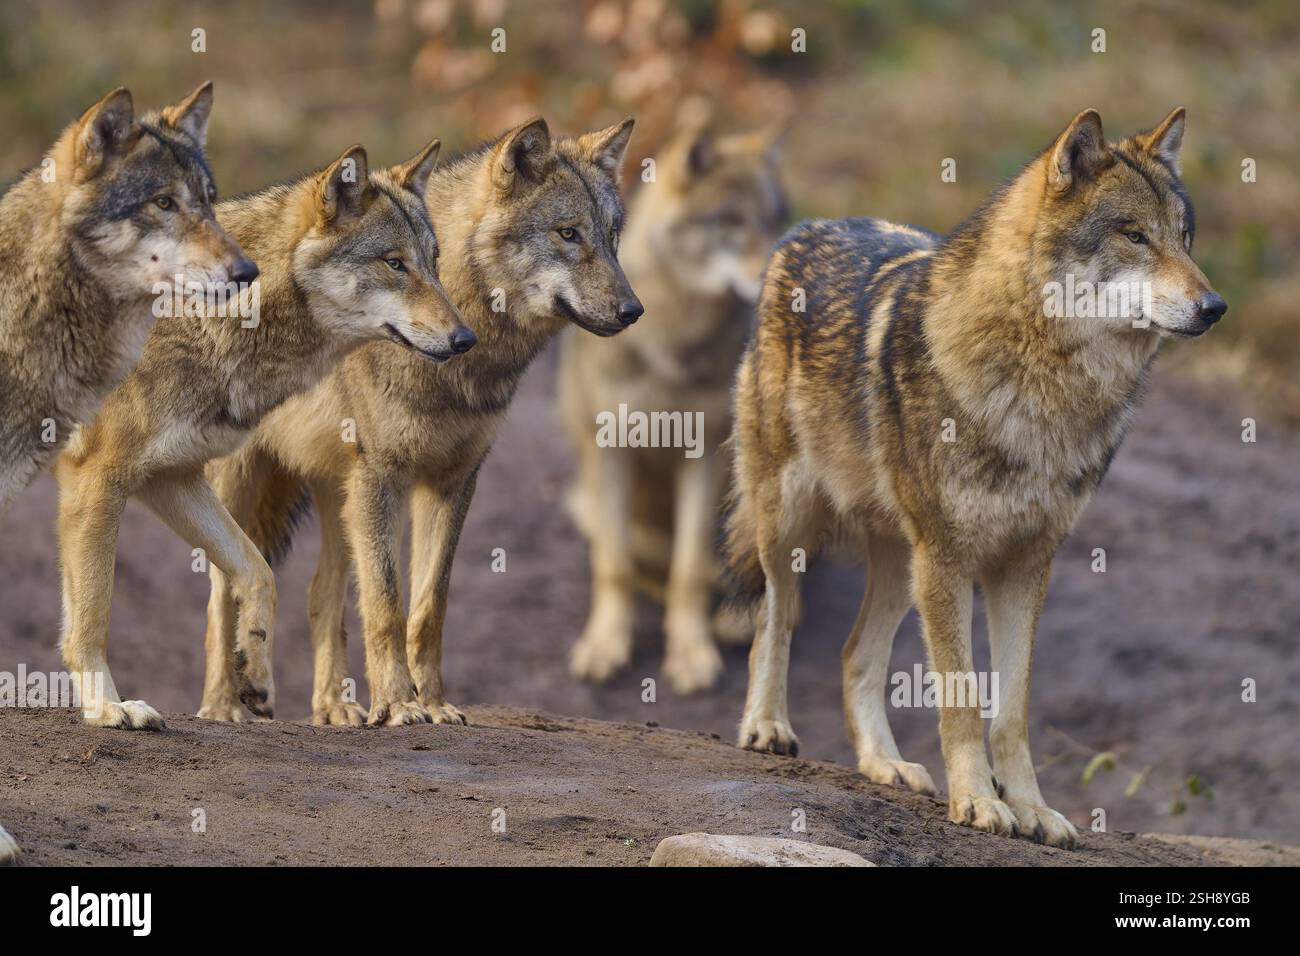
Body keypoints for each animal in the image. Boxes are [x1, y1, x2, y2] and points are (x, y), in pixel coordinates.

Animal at [56, 140, 472, 729]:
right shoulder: (95, 479)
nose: (466, 338)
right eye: (394, 263)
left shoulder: (167, 476)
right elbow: (92, 616)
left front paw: (254, 673)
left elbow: (256, 570)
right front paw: (108, 707)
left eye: (434, 264)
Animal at [198, 117, 640, 727]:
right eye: (568, 234)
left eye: (613, 237)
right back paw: (222, 706)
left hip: (339, 498)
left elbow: (430, 606)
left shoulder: (452, 481)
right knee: (224, 591)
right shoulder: (383, 476)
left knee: (319, 592)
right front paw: (399, 705)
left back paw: (335, 709)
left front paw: (433, 703)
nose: (633, 310)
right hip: (251, 485)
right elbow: (387, 605)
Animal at [559, 121, 787, 693]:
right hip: (588, 501)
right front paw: (606, 645)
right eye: (731, 220)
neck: (673, 334)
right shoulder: (609, 452)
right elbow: (614, 568)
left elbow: (688, 571)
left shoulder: (701, 456)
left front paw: (690, 653)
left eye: (776, 218)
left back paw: (737, 615)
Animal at [724, 109, 1224, 847]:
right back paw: (765, 726)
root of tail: (807, 227)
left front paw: (1033, 808)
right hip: (793, 525)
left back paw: (885, 765)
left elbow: (1011, 711)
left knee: (854, 654)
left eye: (1185, 239)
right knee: (774, 620)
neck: (1046, 390)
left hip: (901, 564)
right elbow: (961, 698)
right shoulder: (950, 557)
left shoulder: (1026, 565)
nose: (1215, 306)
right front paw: (979, 803)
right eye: (1135, 235)